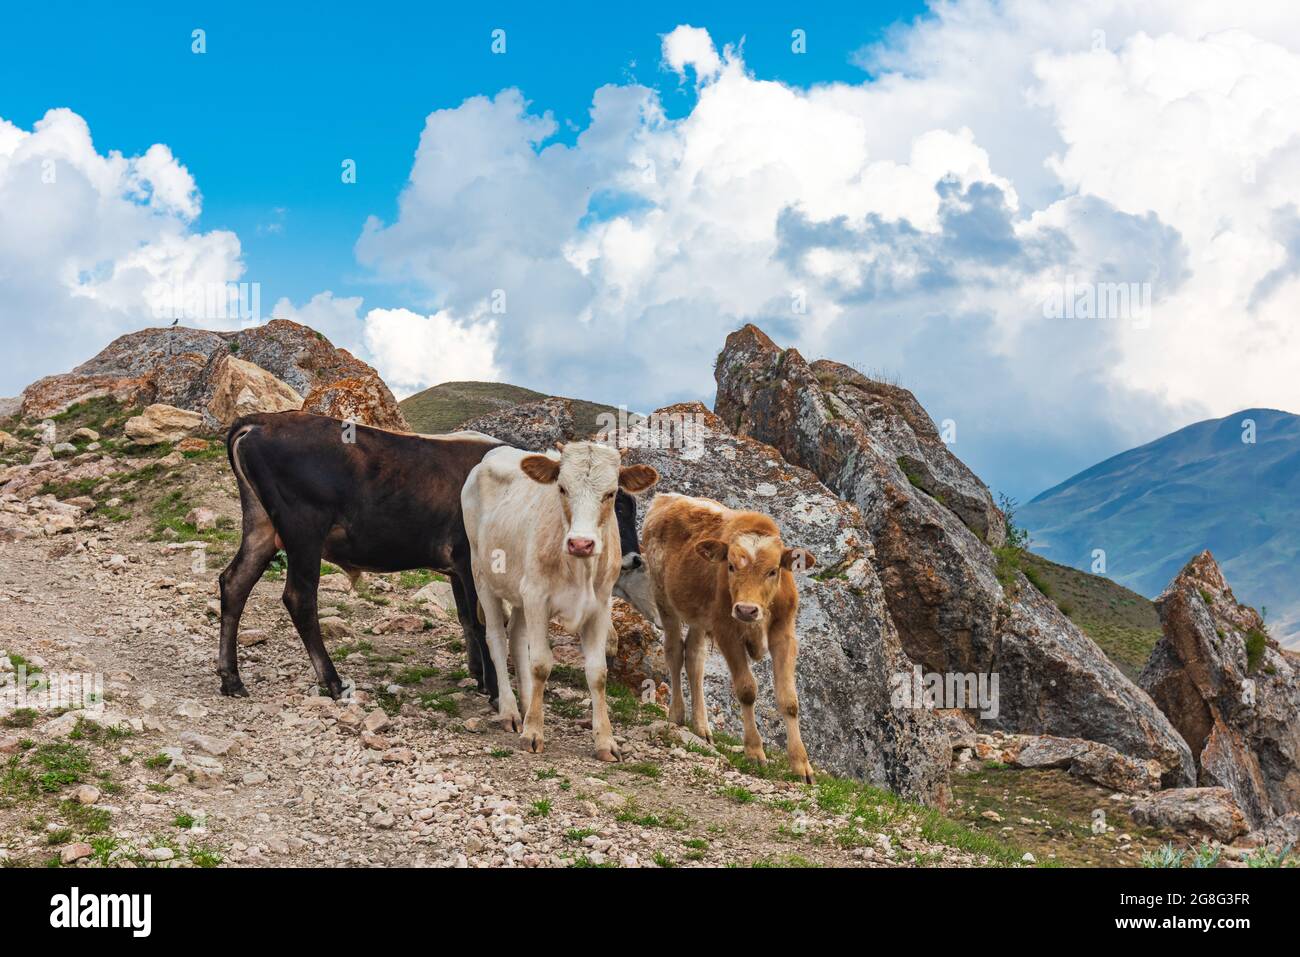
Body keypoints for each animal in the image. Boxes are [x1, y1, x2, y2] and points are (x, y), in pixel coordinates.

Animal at [461, 441, 658, 760]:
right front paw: (533, 733)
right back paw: (510, 711)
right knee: (495, 638)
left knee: (517, 637)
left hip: (520, 592)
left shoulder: (599, 606)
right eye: (562, 488)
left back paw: (527, 702)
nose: (581, 543)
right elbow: (541, 663)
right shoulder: (537, 597)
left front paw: (605, 742)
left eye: (611, 493)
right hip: (482, 573)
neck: (579, 568)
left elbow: (598, 673)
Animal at [641, 493, 817, 783]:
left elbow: (789, 700)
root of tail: (667, 498)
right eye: (731, 566)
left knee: (694, 659)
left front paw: (801, 764)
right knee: (675, 652)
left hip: (700, 619)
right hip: (664, 600)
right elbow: (746, 690)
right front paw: (754, 751)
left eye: (773, 570)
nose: (746, 609)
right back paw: (677, 714)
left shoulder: (784, 634)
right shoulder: (726, 631)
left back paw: (702, 727)